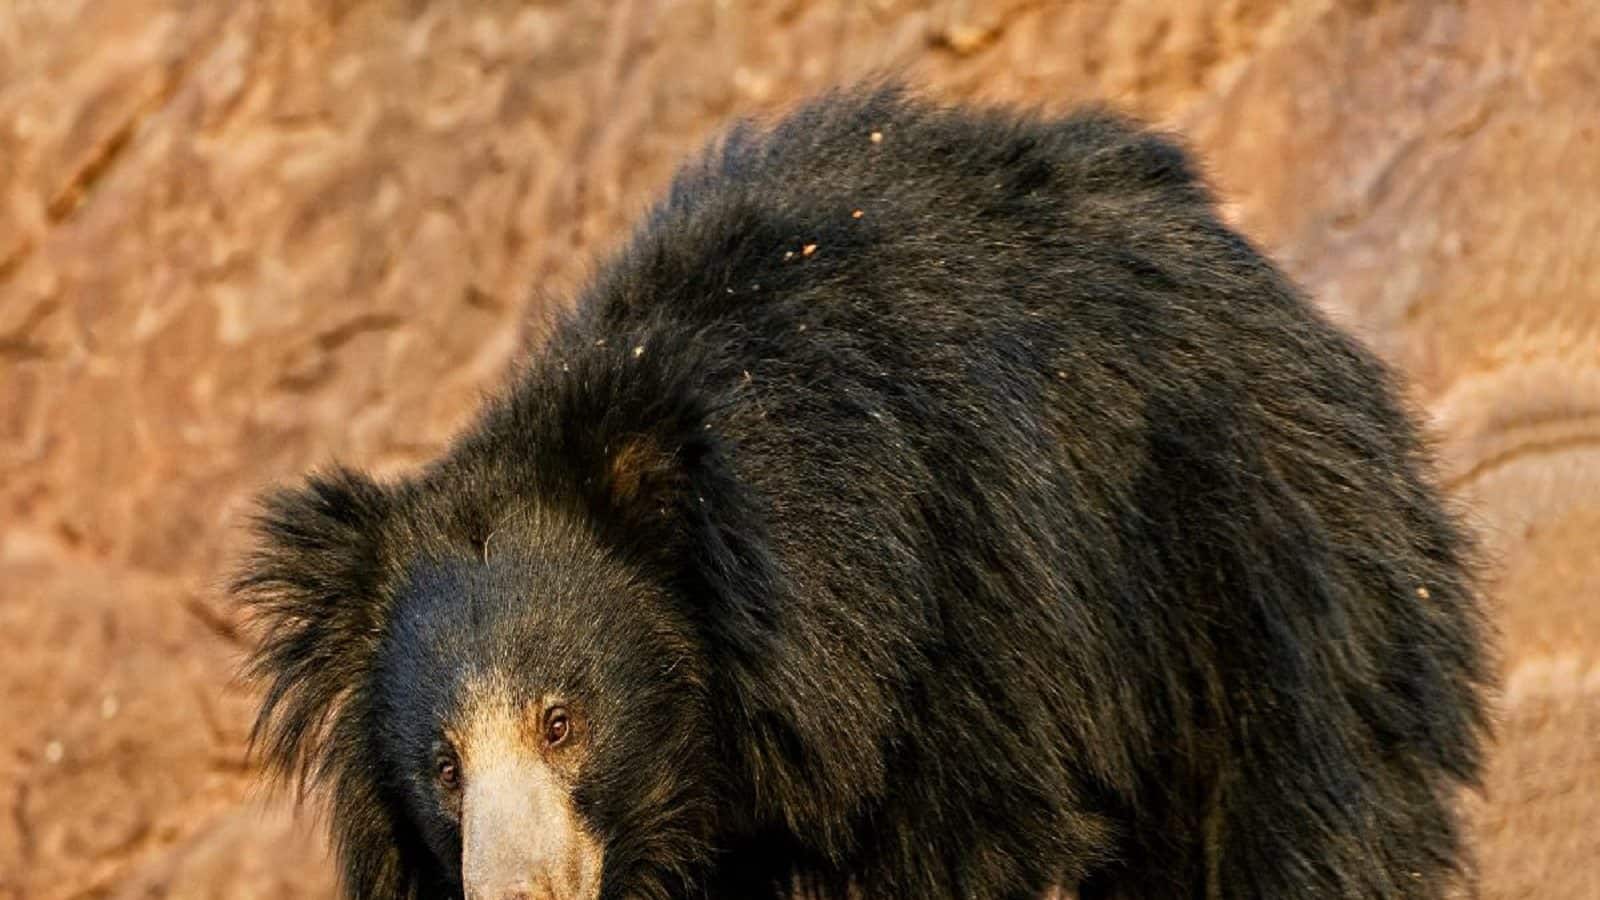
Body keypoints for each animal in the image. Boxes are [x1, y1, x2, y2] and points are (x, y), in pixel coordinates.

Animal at [234, 84, 1491, 900]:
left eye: (562, 721)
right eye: (442, 766)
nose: (518, 897)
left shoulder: (964, 623)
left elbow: (976, 839)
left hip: (1260, 573)